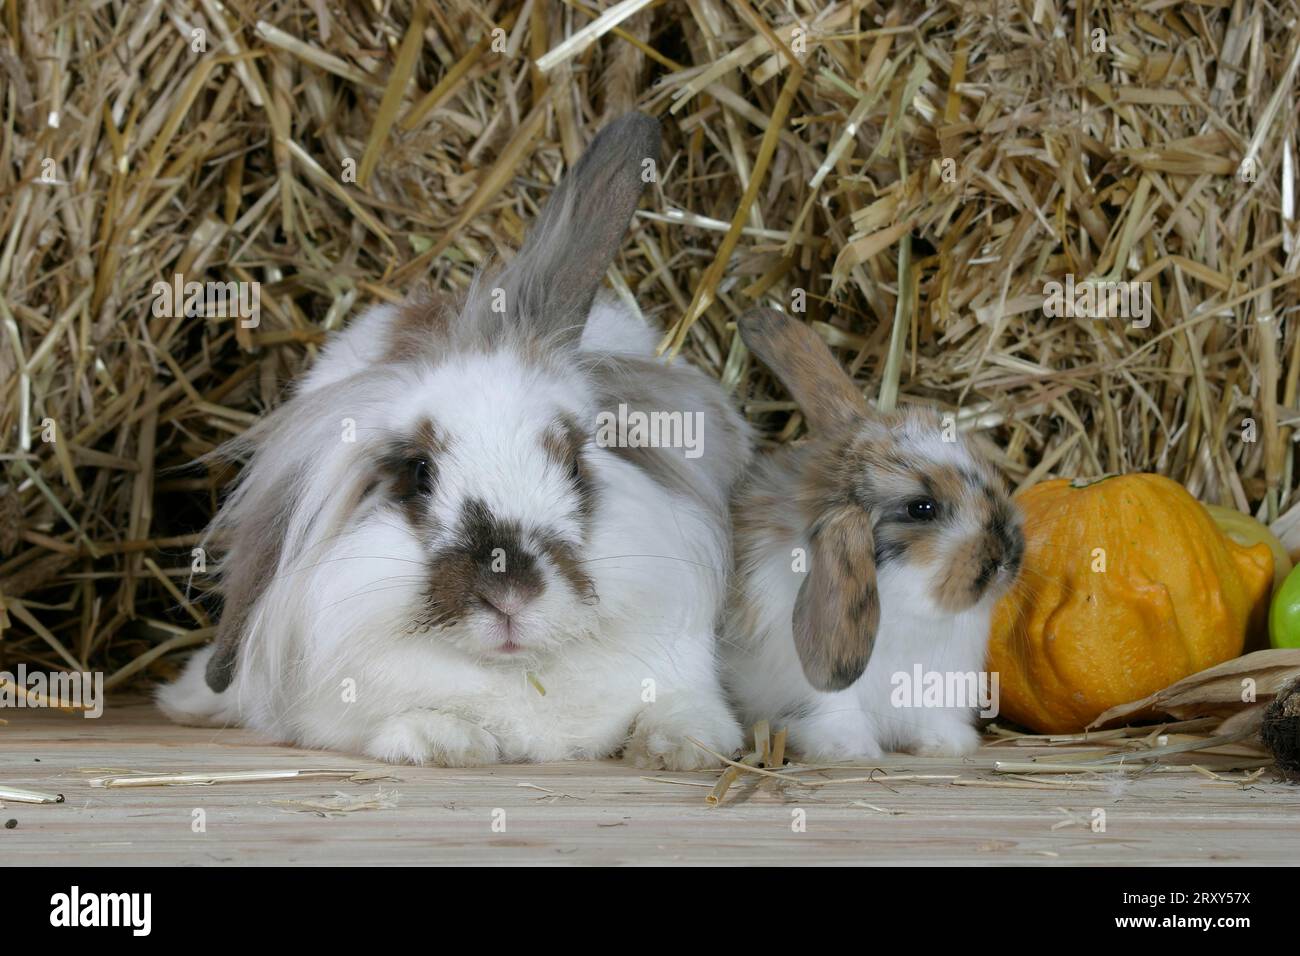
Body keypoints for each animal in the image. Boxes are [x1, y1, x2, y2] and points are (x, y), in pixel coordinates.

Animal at [157, 112, 749, 770]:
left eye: (573, 463)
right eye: (419, 472)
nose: (510, 595)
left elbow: (681, 713)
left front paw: (681, 747)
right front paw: (446, 741)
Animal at [721, 307, 1024, 759]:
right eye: (922, 508)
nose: (1006, 556)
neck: (908, 609)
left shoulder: (941, 681)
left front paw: (947, 744)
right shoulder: (819, 689)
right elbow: (835, 712)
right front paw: (849, 749)